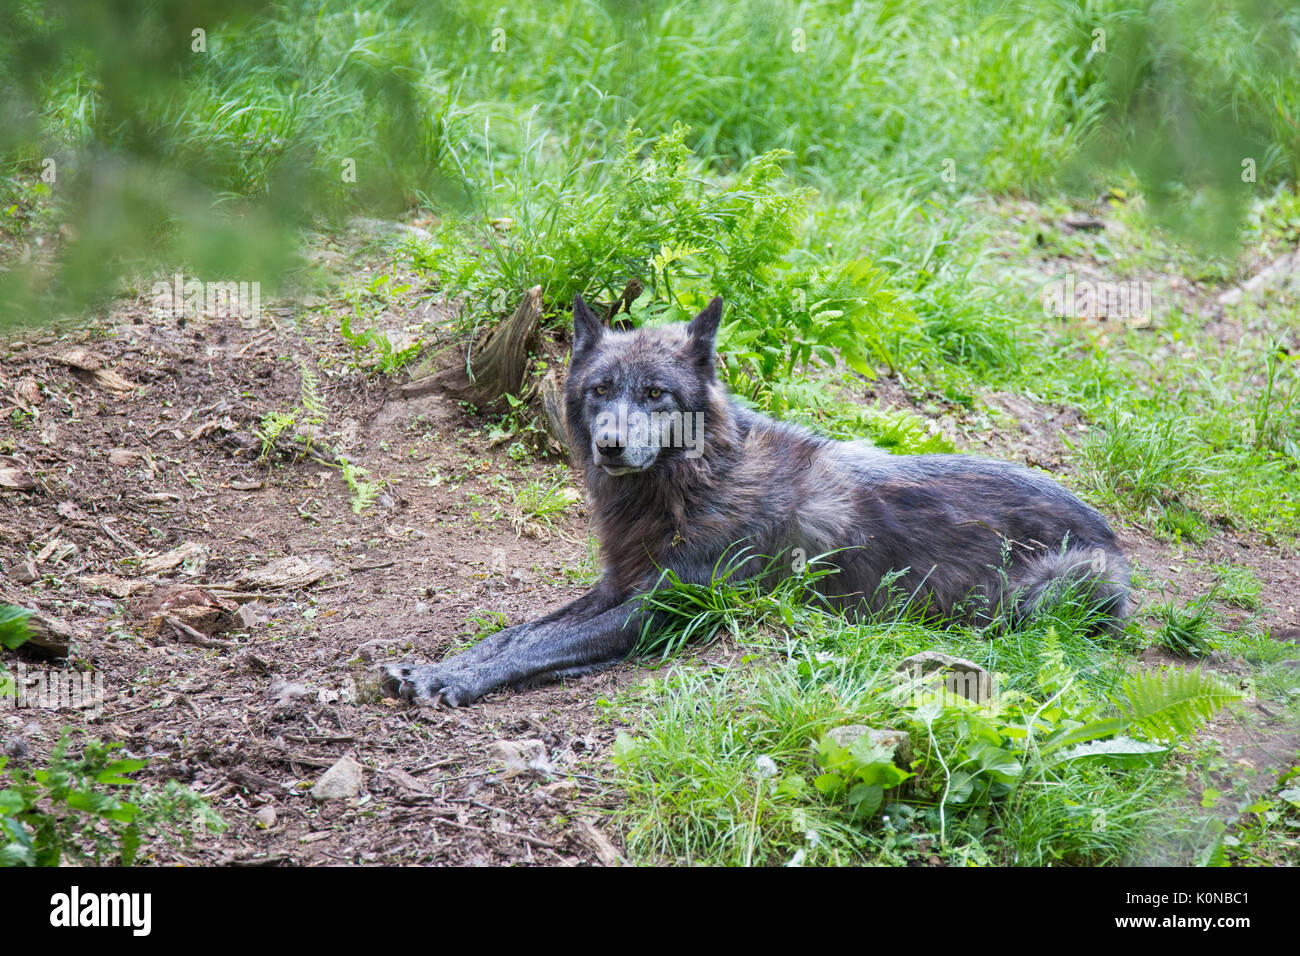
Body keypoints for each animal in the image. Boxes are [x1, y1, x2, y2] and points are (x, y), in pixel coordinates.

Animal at [383, 295, 1130, 706]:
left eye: (655, 394)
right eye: (600, 390)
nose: (610, 446)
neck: (693, 485)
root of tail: (1112, 534)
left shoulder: (665, 609)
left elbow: (543, 644)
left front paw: (454, 682)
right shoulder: (619, 585)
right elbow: (519, 632)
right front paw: (441, 664)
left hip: (1037, 599)